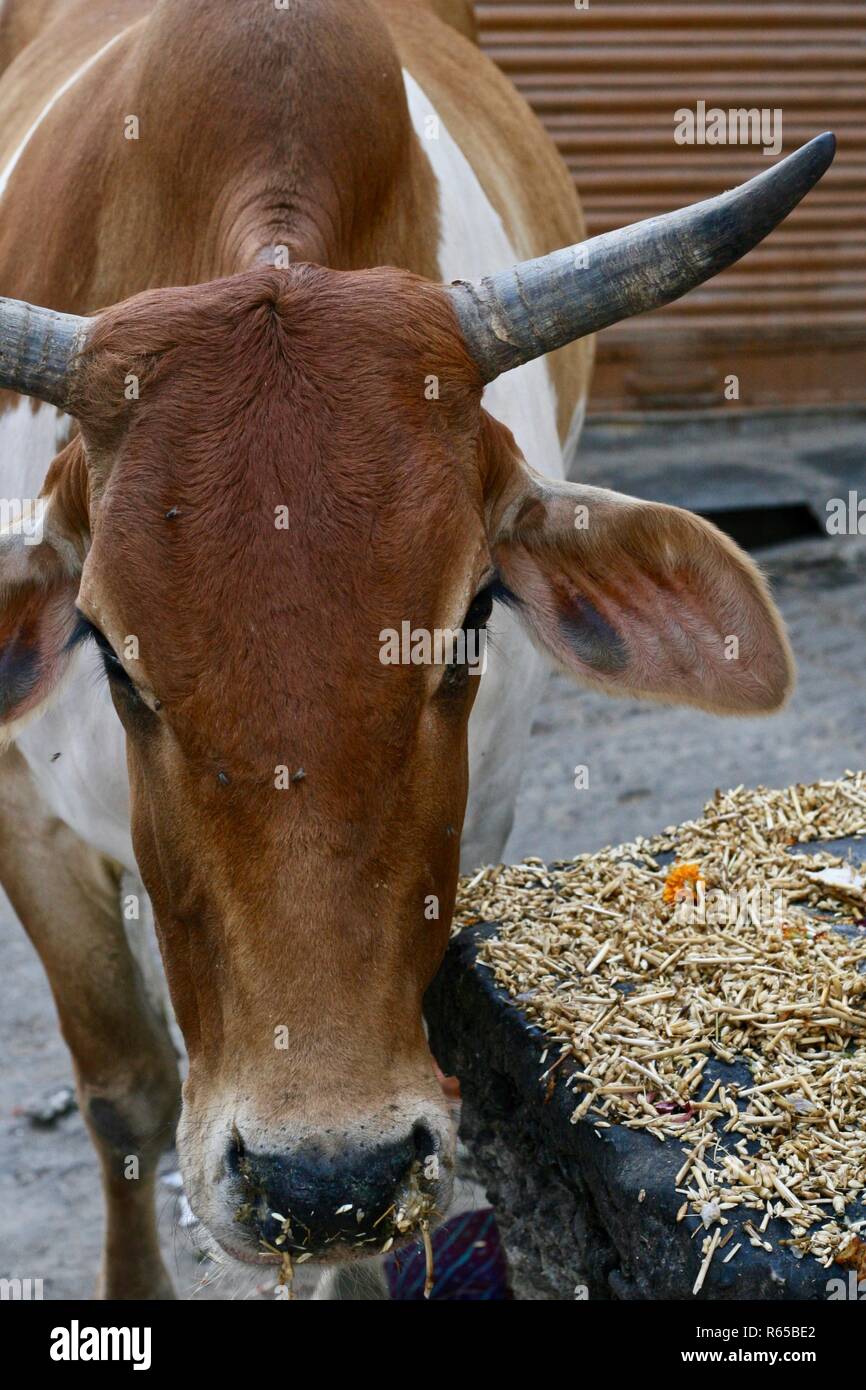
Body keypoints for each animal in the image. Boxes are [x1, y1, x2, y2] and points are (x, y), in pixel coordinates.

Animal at [0, 0, 833, 1299]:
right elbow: (123, 1094)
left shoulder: (479, 809)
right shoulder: (25, 821)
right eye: (110, 651)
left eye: (471, 617)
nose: (316, 1175)